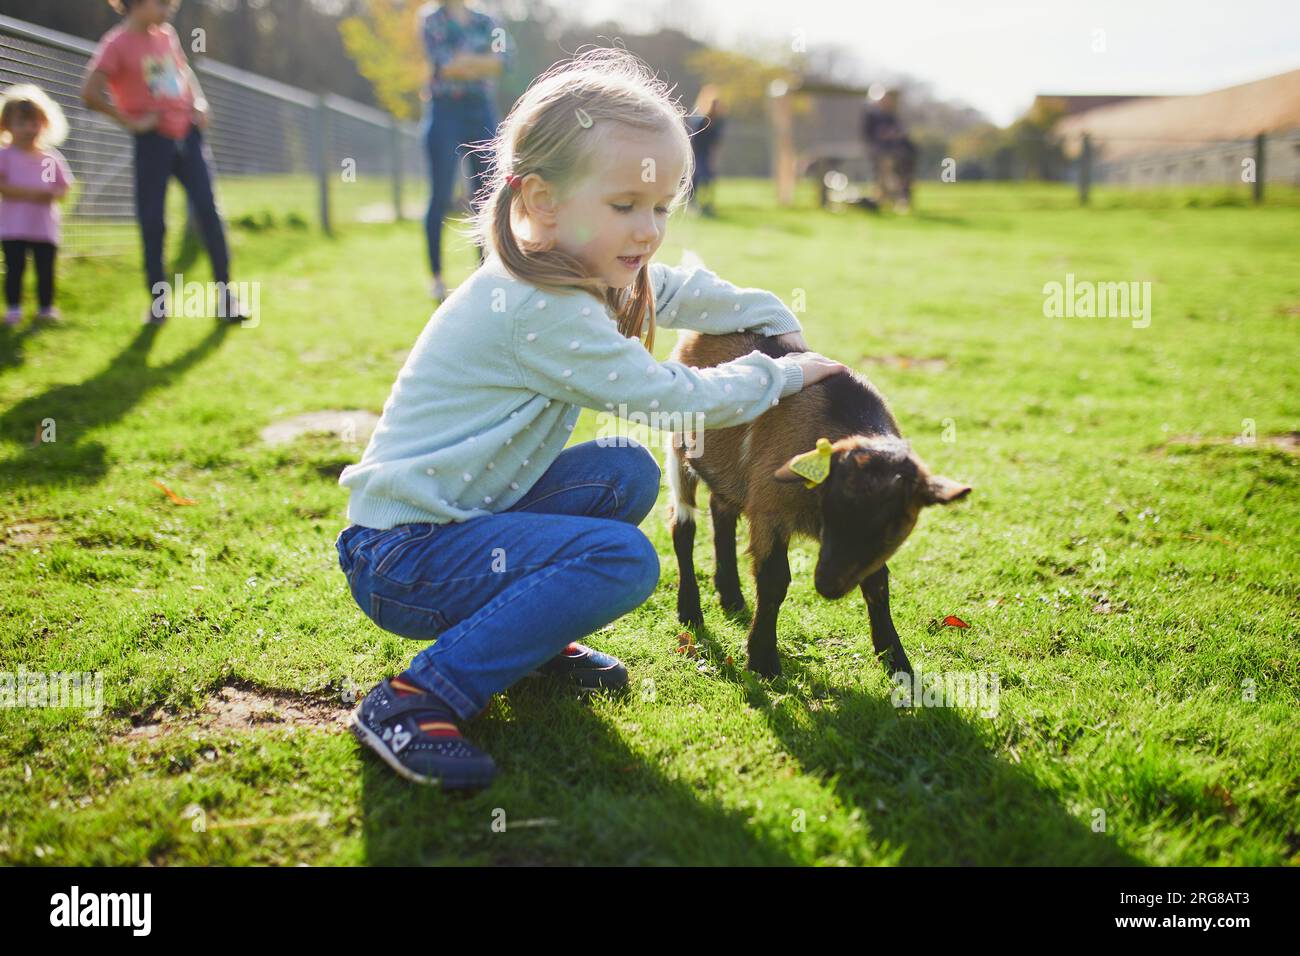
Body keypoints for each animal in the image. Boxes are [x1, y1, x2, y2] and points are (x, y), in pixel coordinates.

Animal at [667, 331, 971, 678]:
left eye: (893, 527)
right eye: (832, 507)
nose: (827, 585)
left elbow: (877, 582)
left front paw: (896, 661)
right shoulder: (769, 508)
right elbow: (774, 580)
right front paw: (763, 661)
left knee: (721, 511)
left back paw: (731, 595)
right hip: (680, 447)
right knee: (683, 527)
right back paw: (690, 610)